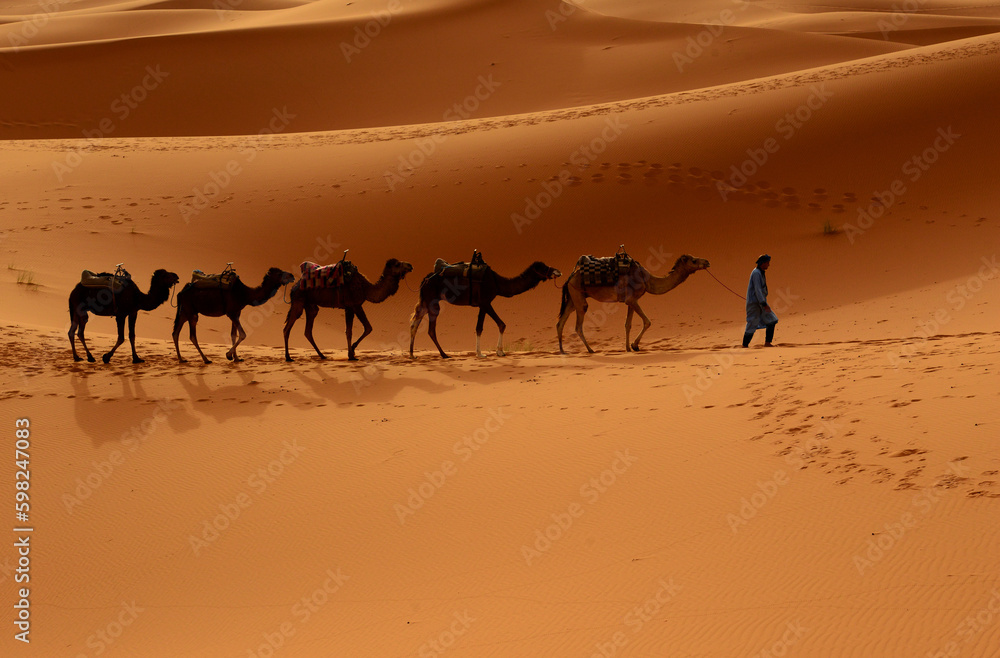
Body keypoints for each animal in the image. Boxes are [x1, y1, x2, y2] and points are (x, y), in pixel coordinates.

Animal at [283, 258, 413, 361]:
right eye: (397, 264)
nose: (410, 265)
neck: (366, 288)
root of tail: (293, 287)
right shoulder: (354, 305)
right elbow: (364, 328)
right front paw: (352, 354)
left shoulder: (349, 307)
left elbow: (354, 330)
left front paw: (352, 352)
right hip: (298, 302)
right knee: (287, 329)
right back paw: (288, 357)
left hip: (310, 306)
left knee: (308, 331)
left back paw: (322, 356)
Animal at [409, 260, 562, 358]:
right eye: (543, 268)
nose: (558, 271)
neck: (497, 283)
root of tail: (425, 279)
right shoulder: (486, 302)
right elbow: (500, 324)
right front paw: (496, 352)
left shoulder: (482, 304)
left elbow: (480, 327)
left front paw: (482, 353)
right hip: (433, 302)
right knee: (430, 329)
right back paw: (444, 355)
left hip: (426, 302)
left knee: (415, 324)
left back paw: (412, 355)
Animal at [557, 254, 710, 353]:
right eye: (694, 261)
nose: (707, 262)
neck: (647, 280)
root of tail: (569, 278)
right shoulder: (632, 299)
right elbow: (647, 322)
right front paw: (635, 346)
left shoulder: (630, 301)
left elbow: (628, 325)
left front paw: (628, 348)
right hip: (578, 297)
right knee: (578, 325)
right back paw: (590, 350)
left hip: (573, 298)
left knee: (561, 322)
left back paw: (563, 350)